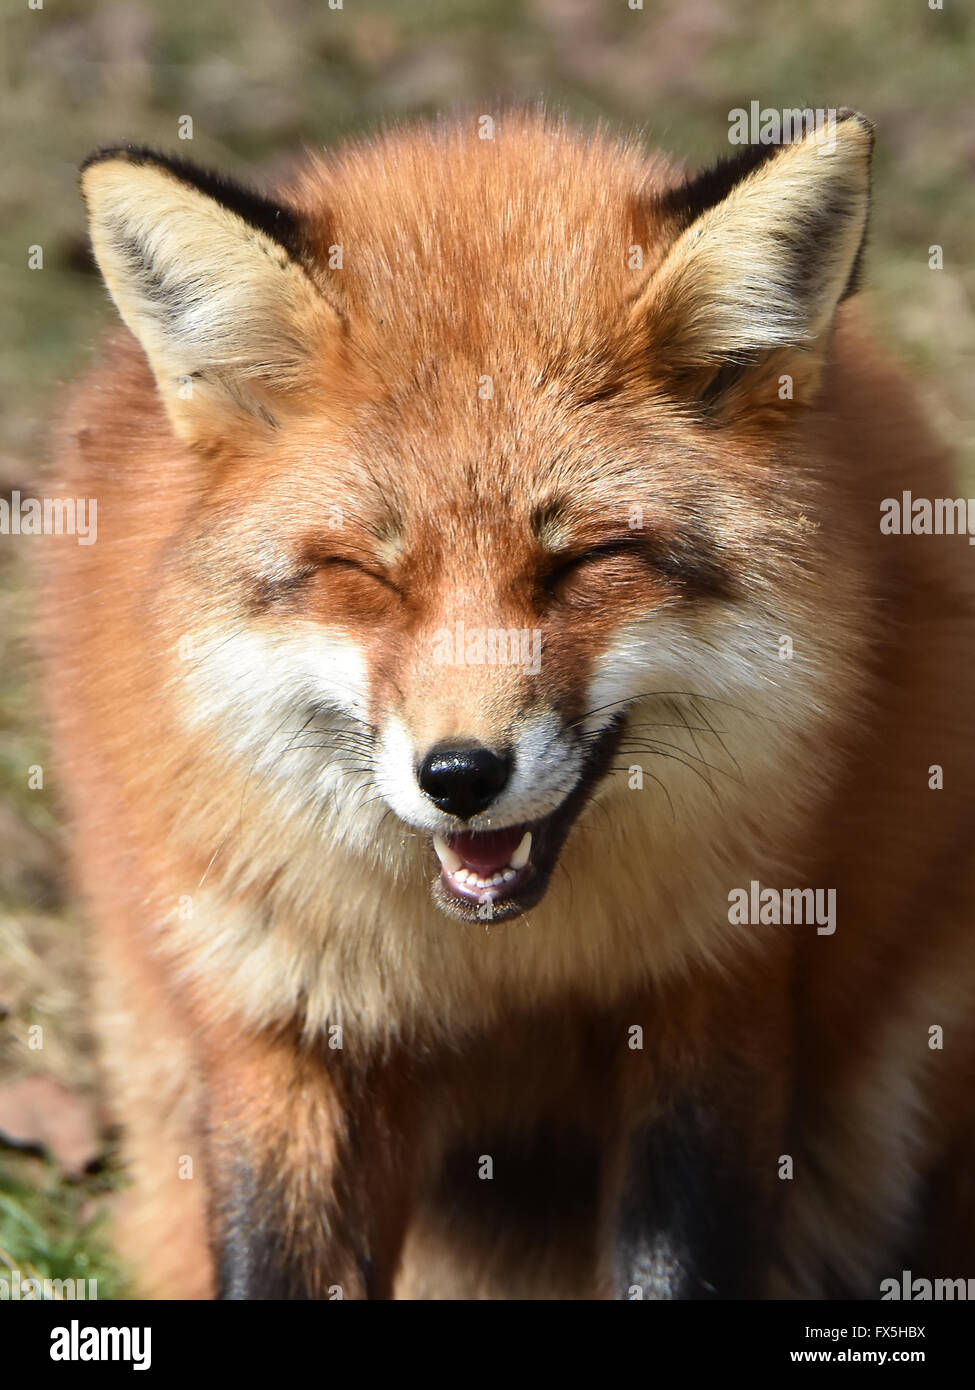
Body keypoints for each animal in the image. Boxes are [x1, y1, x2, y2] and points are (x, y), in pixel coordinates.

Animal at [42, 108, 975, 1299]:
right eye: (365, 573)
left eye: (583, 563)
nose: (460, 775)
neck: (501, 971)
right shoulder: (282, 1023)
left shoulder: (717, 994)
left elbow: (679, 1261)